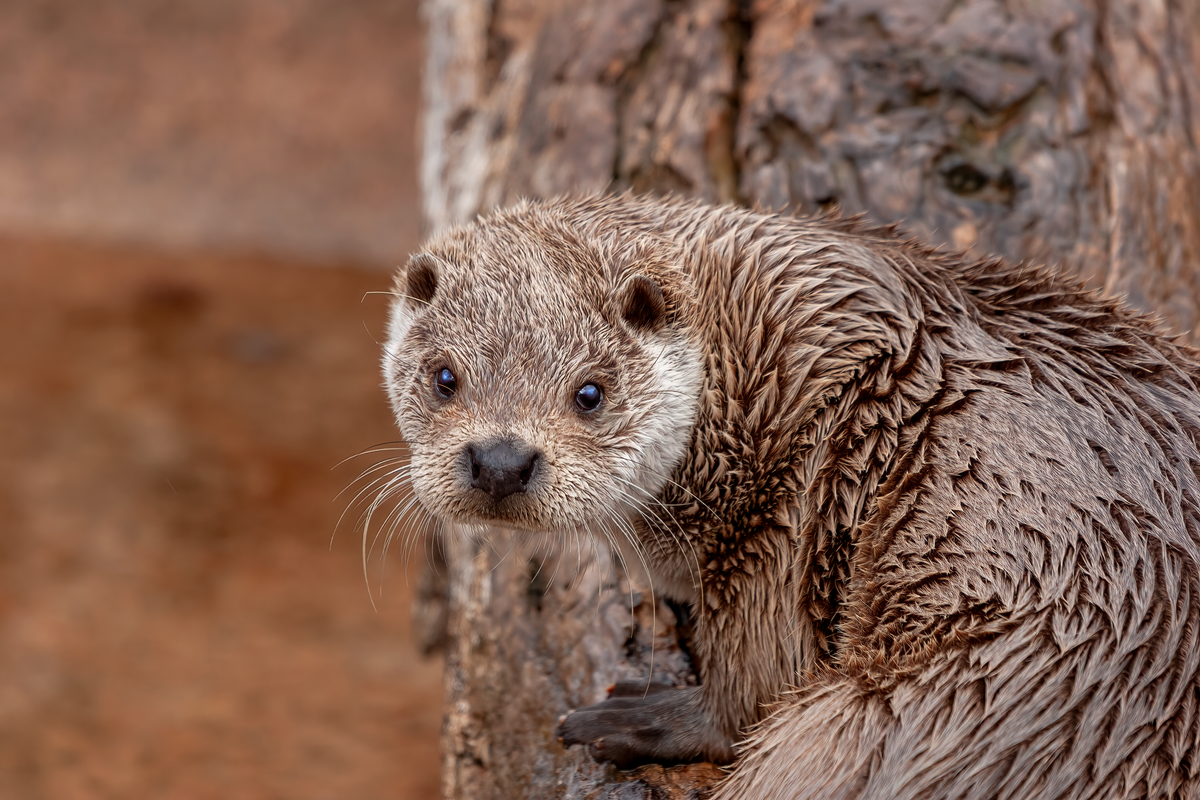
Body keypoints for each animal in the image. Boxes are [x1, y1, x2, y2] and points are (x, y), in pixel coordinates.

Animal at [382, 194, 1200, 799]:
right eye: (444, 376)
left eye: (591, 392)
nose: (500, 460)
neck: (763, 361)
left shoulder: (790, 502)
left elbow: (756, 680)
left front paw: (645, 719)